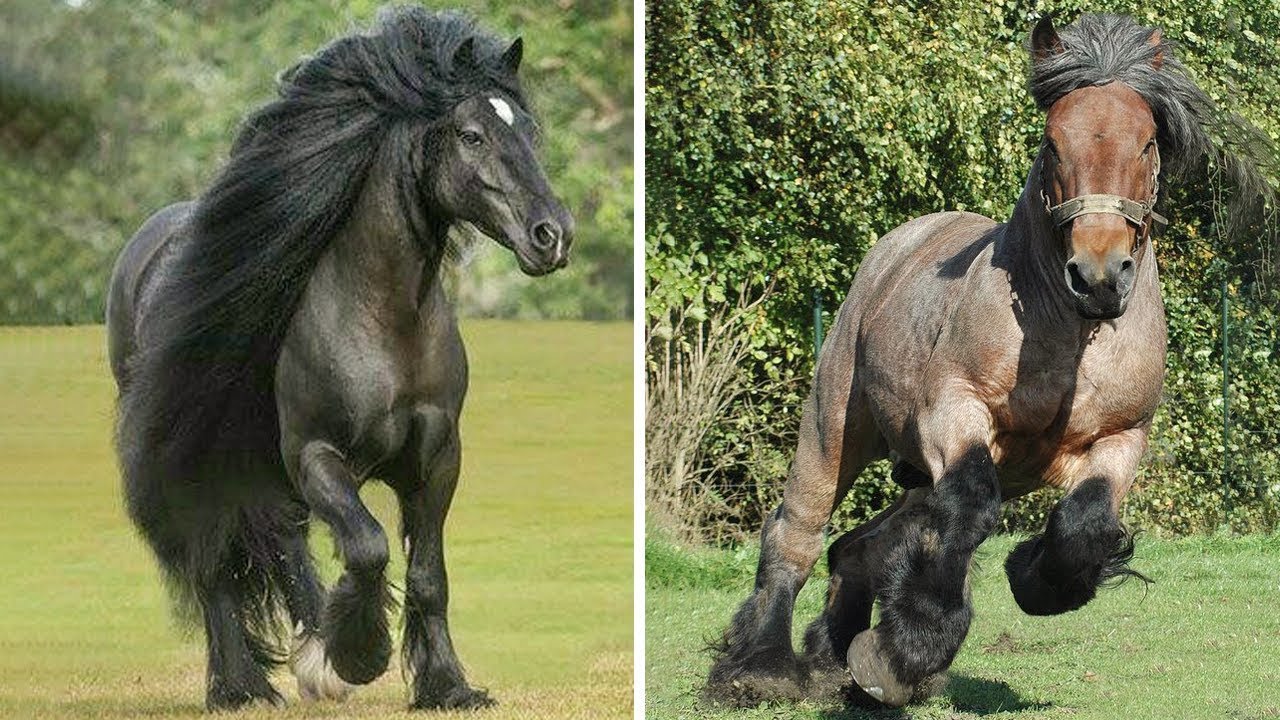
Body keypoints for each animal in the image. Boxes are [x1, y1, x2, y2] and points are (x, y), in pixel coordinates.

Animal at [106, 7, 572, 711]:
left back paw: (304, 659)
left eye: (527, 129)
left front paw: (447, 686)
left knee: (284, 542)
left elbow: (428, 575)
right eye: (471, 135)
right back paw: (239, 688)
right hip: (204, 458)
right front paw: (358, 654)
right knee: (215, 562)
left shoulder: (437, 461)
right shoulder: (319, 458)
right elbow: (368, 546)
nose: (553, 236)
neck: (385, 322)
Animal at [706, 14, 1272, 708]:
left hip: (915, 476)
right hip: (835, 430)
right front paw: (915, 642)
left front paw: (1032, 580)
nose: (1099, 275)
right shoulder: (955, 411)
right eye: (1053, 143)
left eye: (1145, 144)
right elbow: (973, 505)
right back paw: (763, 668)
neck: (1070, 334)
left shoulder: (1121, 438)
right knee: (797, 535)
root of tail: (892, 253)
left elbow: (1085, 523)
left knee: (862, 546)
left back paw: (840, 659)